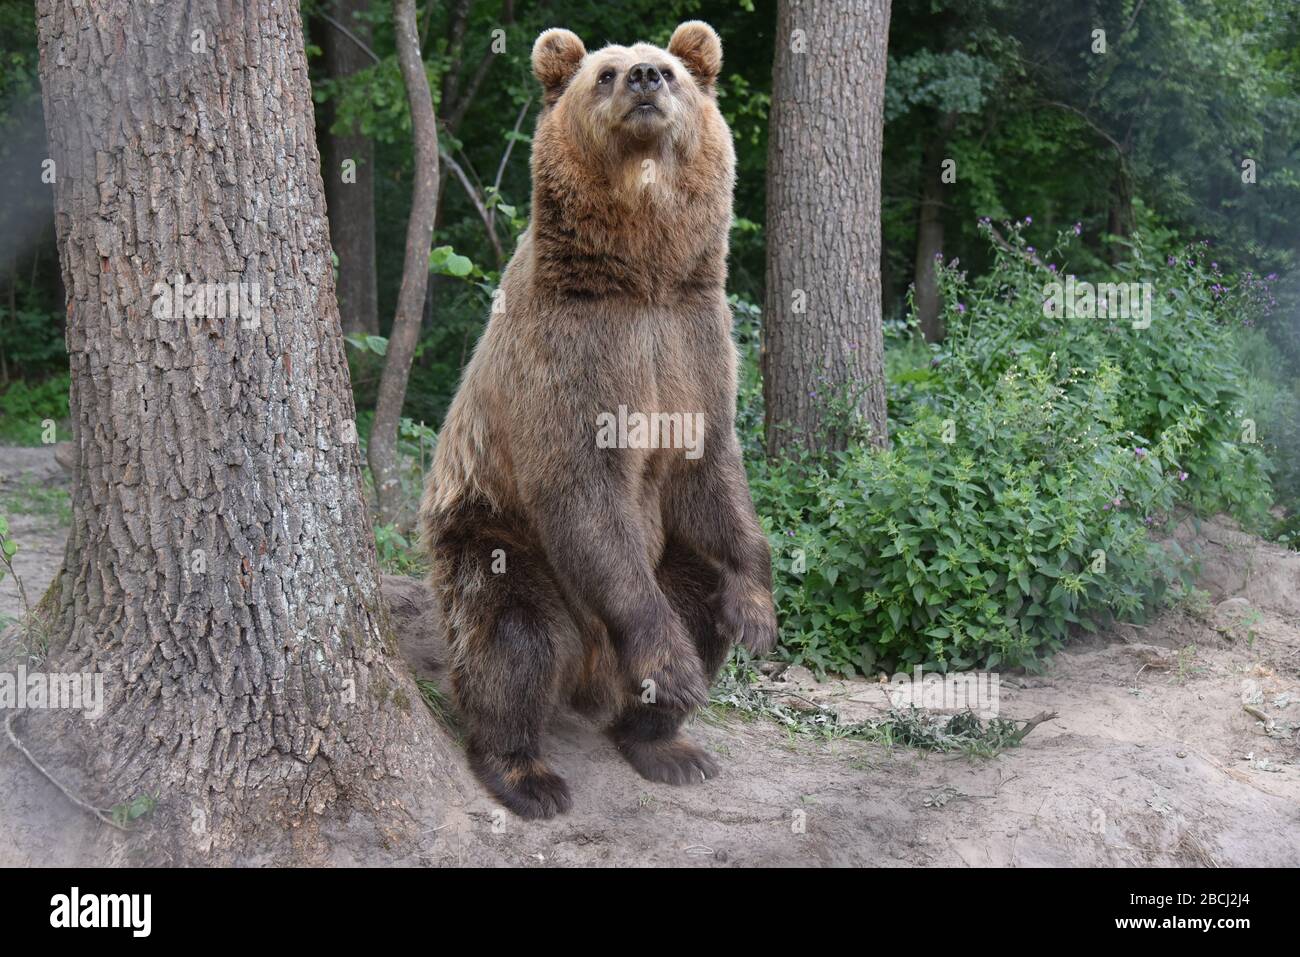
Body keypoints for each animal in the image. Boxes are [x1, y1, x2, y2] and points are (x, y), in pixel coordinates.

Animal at [420, 21, 777, 820]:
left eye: (670, 69)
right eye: (605, 73)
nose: (644, 77)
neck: (640, 276)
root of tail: (589, 672)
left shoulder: (691, 341)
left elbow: (714, 474)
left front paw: (758, 610)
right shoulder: (574, 354)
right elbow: (582, 491)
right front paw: (672, 666)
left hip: (662, 561)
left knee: (697, 595)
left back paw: (666, 743)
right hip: (491, 532)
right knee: (508, 637)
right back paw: (527, 772)